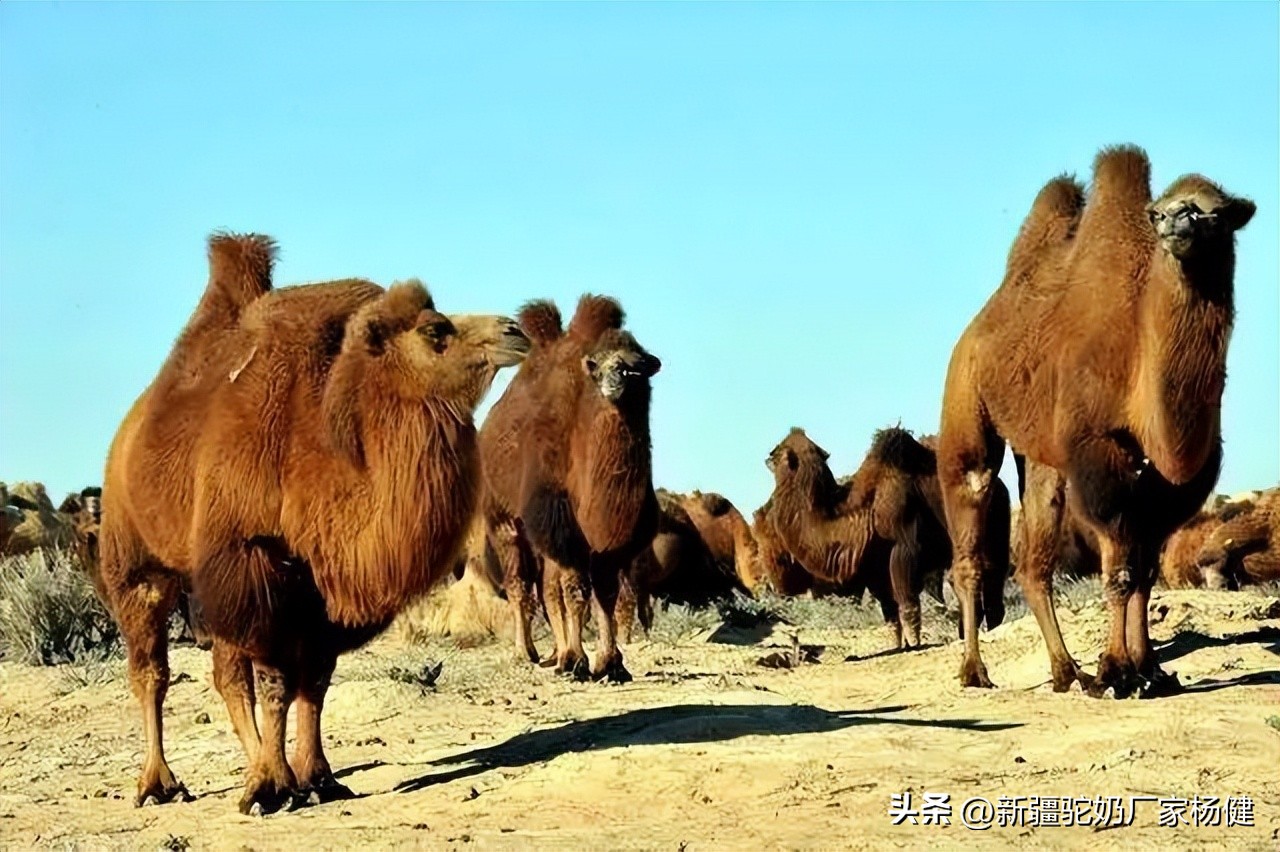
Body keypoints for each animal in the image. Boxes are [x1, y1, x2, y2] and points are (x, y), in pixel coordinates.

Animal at [99, 232, 529, 814]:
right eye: (435, 330)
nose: (515, 330)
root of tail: (130, 428)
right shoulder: (256, 559)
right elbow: (276, 681)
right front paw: (271, 785)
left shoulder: (320, 587)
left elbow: (315, 683)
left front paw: (317, 778)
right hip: (139, 563)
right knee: (154, 672)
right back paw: (158, 783)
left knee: (226, 674)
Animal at [480, 294, 660, 682]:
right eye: (599, 365)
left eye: (638, 366)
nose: (617, 379)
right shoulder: (560, 520)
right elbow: (574, 588)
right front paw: (577, 660)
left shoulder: (613, 540)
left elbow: (605, 591)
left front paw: (611, 662)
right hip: (503, 518)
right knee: (521, 584)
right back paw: (527, 653)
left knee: (546, 585)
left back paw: (554, 653)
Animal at [937, 145, 1255, 696]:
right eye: (1160, 211)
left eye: (1212, 213)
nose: (1176, 224)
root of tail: (980, 324)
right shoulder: (1100, 454)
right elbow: (1120, 569)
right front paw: (1117, 670)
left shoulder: (1173, 481)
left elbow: (1145, 571)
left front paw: (1151, 670)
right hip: (965, 405)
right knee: (972, 521)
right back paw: (976, 672)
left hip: (1041, 456)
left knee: (1033, 562)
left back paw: (1067, 672)